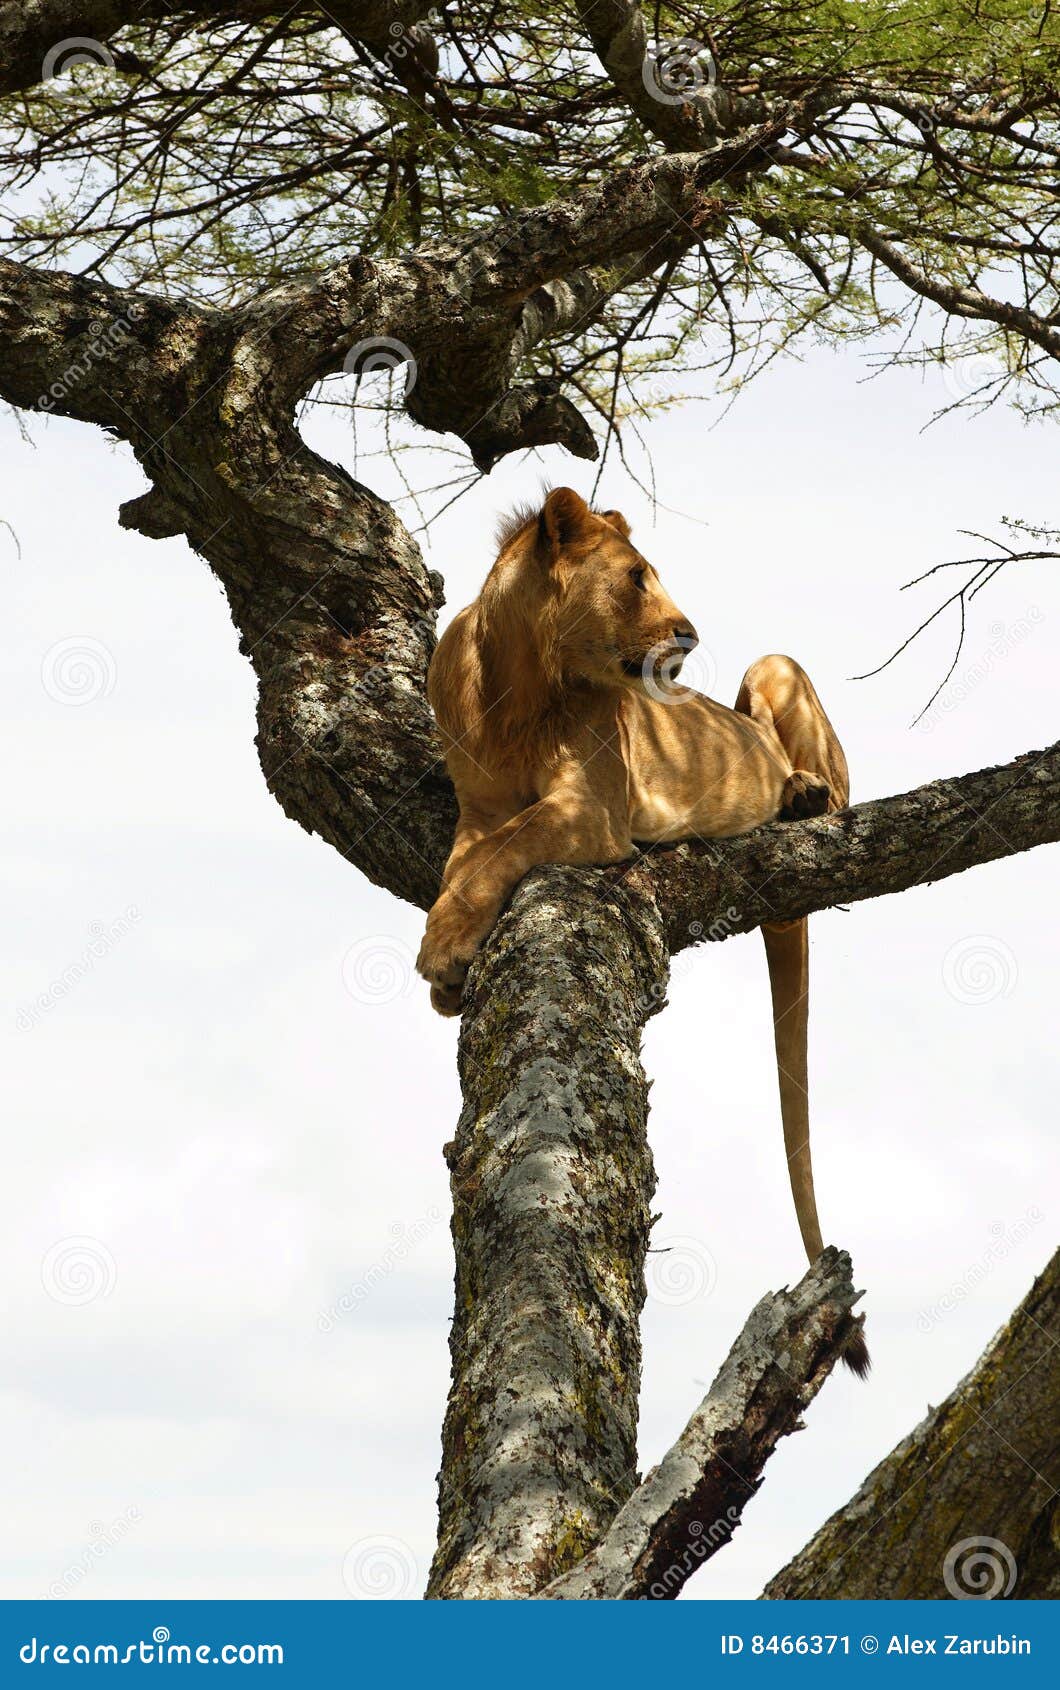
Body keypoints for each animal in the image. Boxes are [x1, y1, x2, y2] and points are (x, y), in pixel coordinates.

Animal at [418, 487, 867, 1374]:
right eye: (633, 578)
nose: (688, 635)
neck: (520, 684)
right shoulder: (475, 810)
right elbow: (465, 870)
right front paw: (448, 965)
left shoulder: (593, 809)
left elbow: (506, 853)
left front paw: (441, 952)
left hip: (774, 668)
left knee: (839, 788)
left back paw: (801, 793)